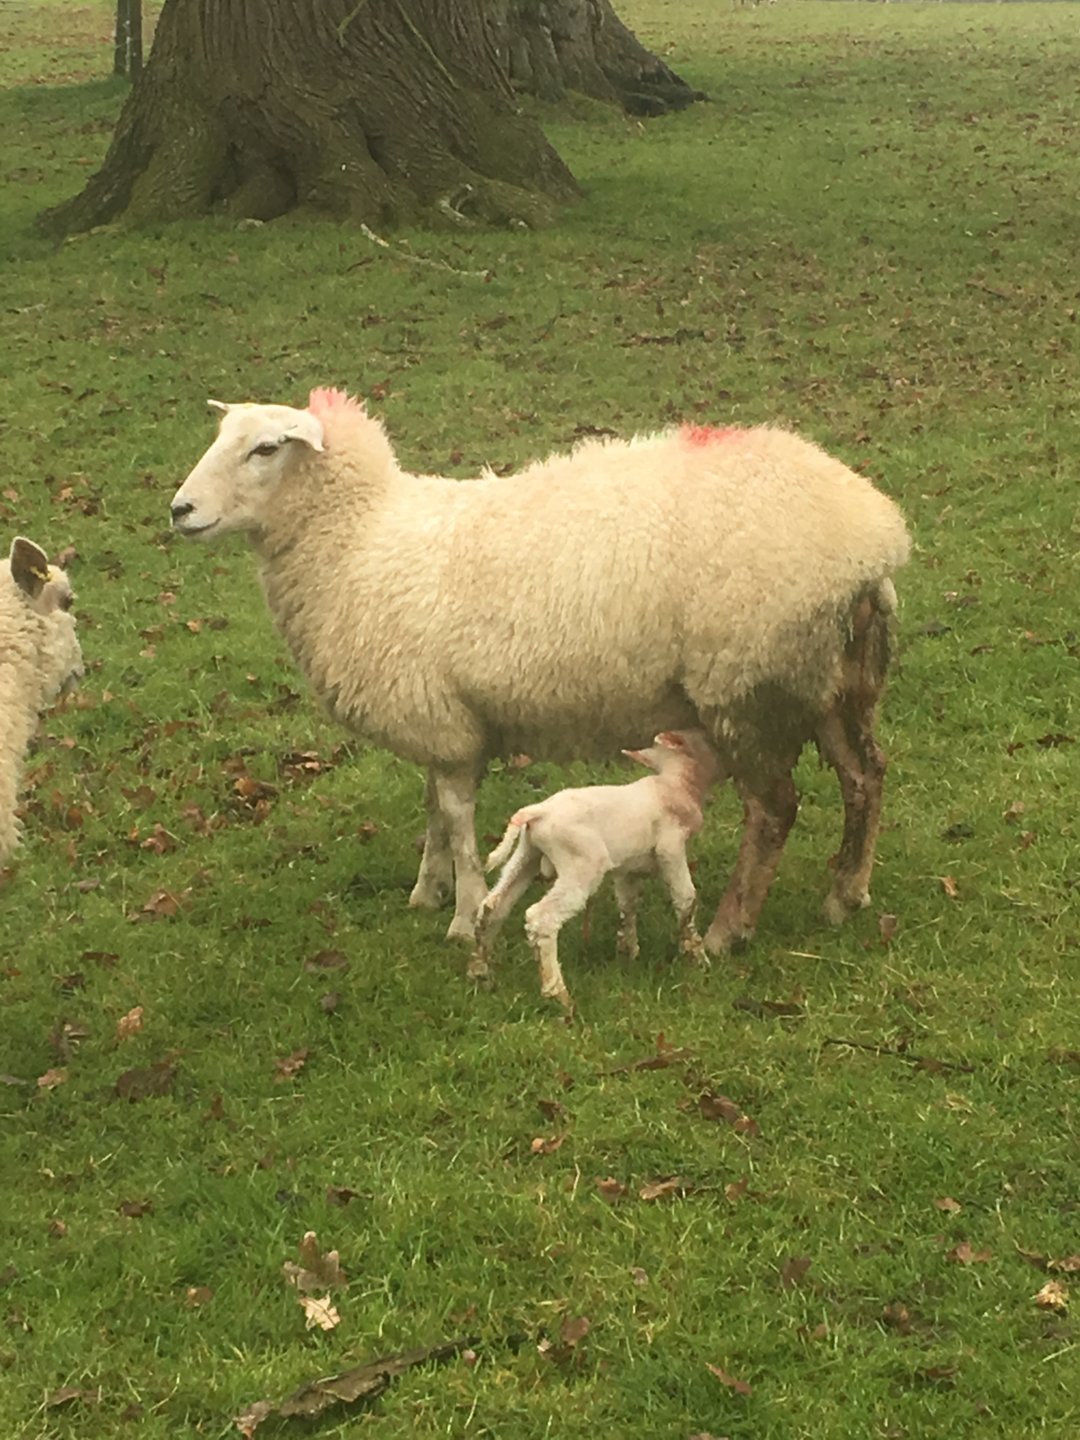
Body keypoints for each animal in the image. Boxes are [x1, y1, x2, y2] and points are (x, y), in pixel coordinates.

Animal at [169, 389, 910, 955]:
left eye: (266, 448)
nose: (179, 510)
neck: (358, 541)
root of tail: (871, 538)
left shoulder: (446, 727)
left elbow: (460, 824)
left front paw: (463, 919)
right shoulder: (444, 718)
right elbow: (435, 811)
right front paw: (426, 891)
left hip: (748, 683)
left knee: (775, 809)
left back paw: (730, 930)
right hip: (832, 682)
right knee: (865, 776)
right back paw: (847, 894)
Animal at [471, 729, 720, 1012]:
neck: (675, 784)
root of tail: (537, 811)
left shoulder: (627, 867)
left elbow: (628, 904)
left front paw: (628, 952)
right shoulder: (671, 847)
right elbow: (686, 897)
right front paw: (697, 957)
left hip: (527, 854)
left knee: (492, 906)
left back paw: (481, 972)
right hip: (582, 863)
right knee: (541, 918)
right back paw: (558, 994)